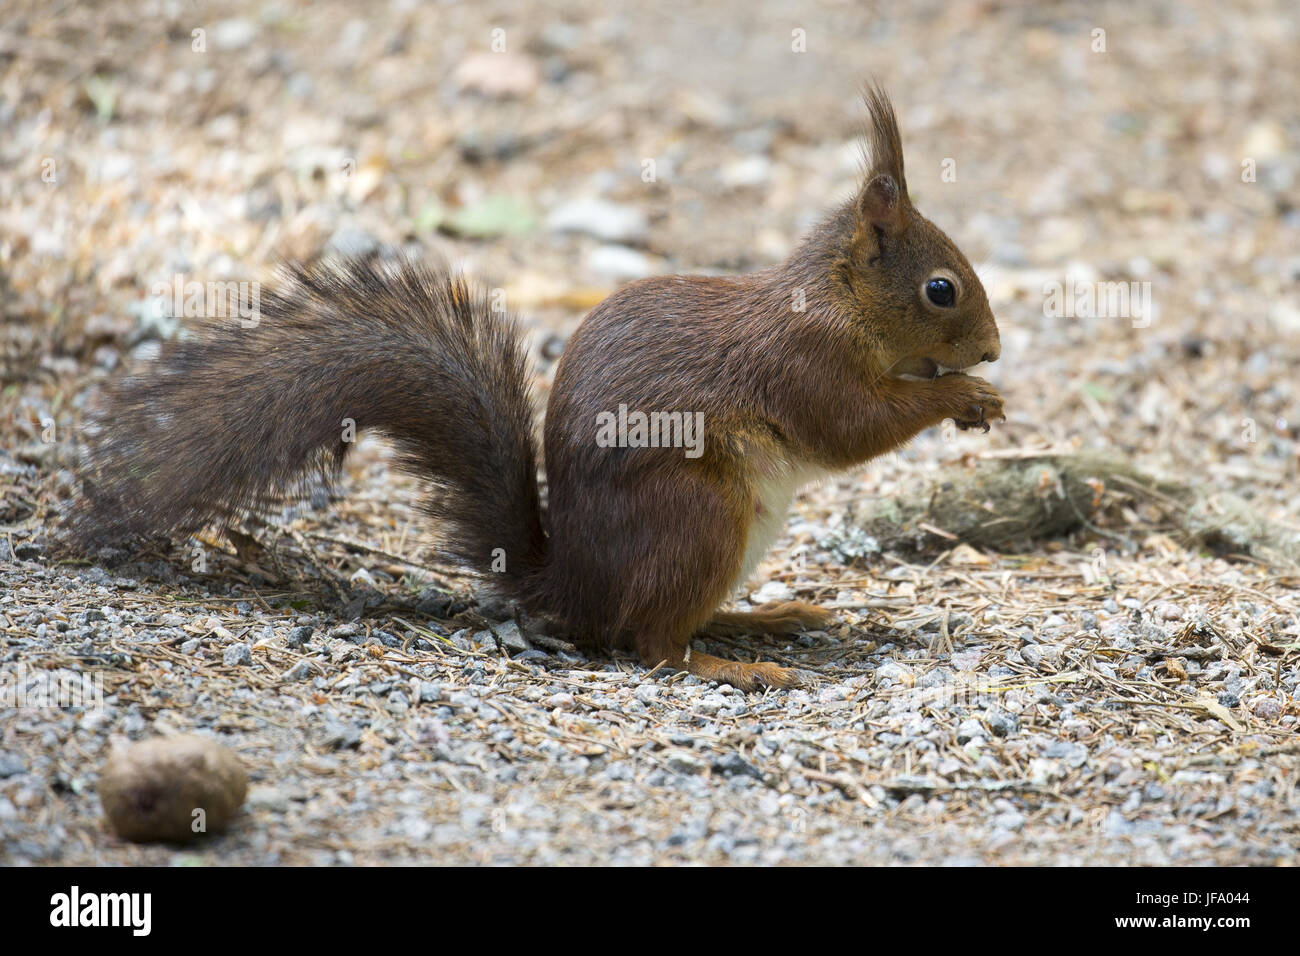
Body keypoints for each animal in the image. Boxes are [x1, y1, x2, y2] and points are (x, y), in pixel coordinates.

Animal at [68, 86, 1003, 691]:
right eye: (941, 289)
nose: (993, 352)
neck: (837, 301)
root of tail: (571, 584)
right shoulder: (804, 362)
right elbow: (853, 428)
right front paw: (959, 399)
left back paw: (764, 620)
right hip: (700, 517)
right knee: (649, 643)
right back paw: (740, 664)